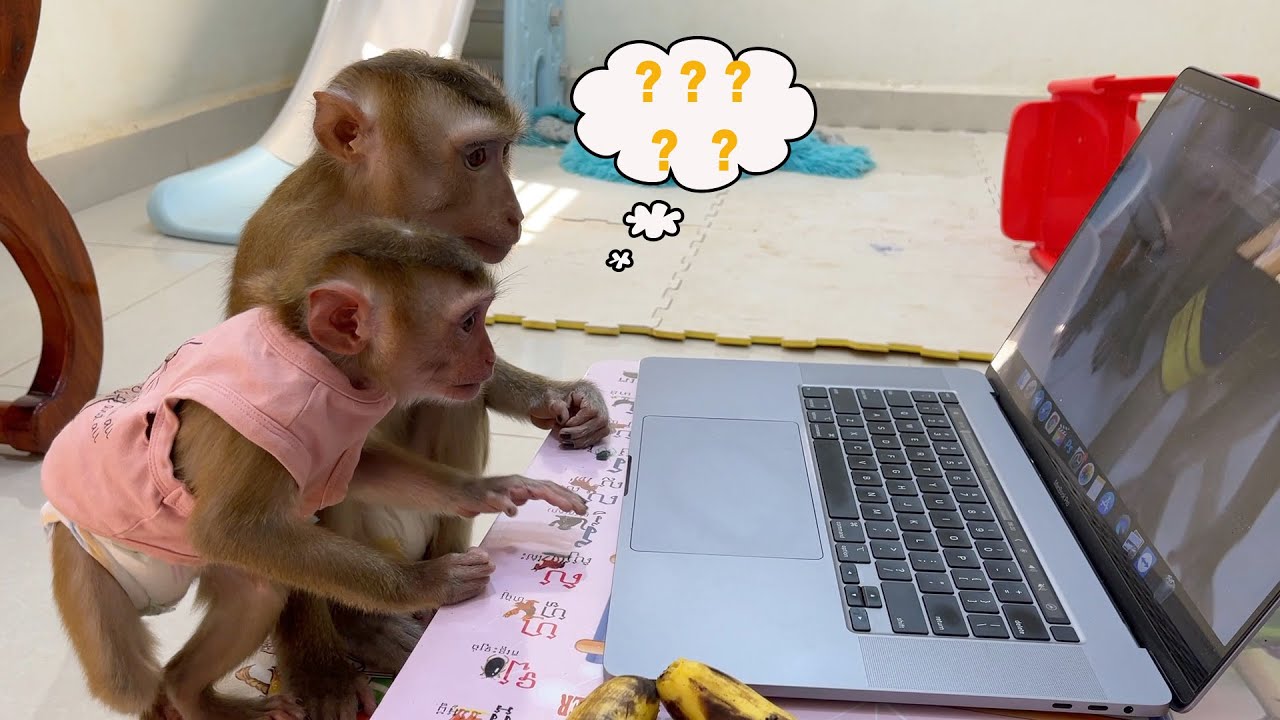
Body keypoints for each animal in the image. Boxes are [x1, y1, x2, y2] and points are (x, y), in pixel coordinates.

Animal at [41, 219, 588, 720]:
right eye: (470, 322)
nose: (490, 358)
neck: (317, 359)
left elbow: (353, 469)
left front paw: (488, 490)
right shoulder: (258, 420)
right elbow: (230, 529)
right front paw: (426, 583)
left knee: (255, 591)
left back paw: (187, 692)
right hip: (85, 565)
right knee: (127, 674)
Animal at [225, 50, 612, 716]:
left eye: (504, 152)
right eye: (477, 157)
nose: (517, 213)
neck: (362, 214)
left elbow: (467, 376)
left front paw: (567, 399)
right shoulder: (280, 263)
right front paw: (320, 673)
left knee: (453, 407)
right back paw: (363, 628)